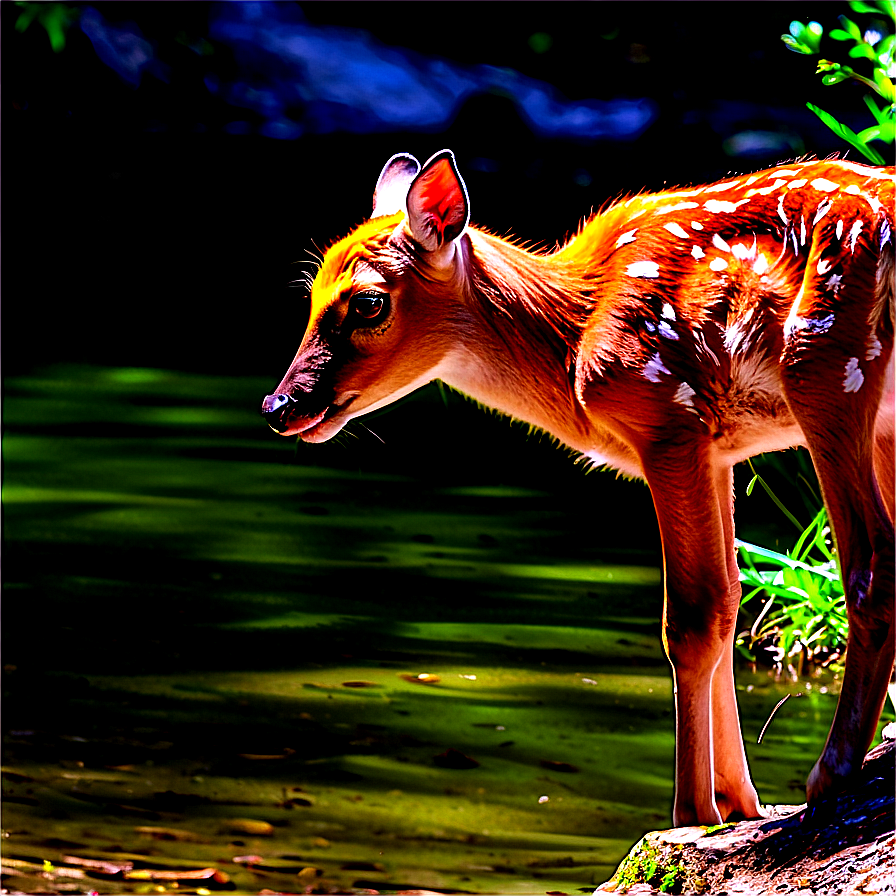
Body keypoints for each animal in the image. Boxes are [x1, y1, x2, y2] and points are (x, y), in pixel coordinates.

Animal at [262, 150, 895, 827]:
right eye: (310, 295)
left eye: (367, 303)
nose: (280, 405)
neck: (574, 338)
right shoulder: (719, 448)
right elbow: (727, 603)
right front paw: (738, 805)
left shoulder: (666, 418)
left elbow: (691, 618)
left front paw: (690, 814)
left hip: (824, 362)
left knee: (869, 565)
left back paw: (830, 774)